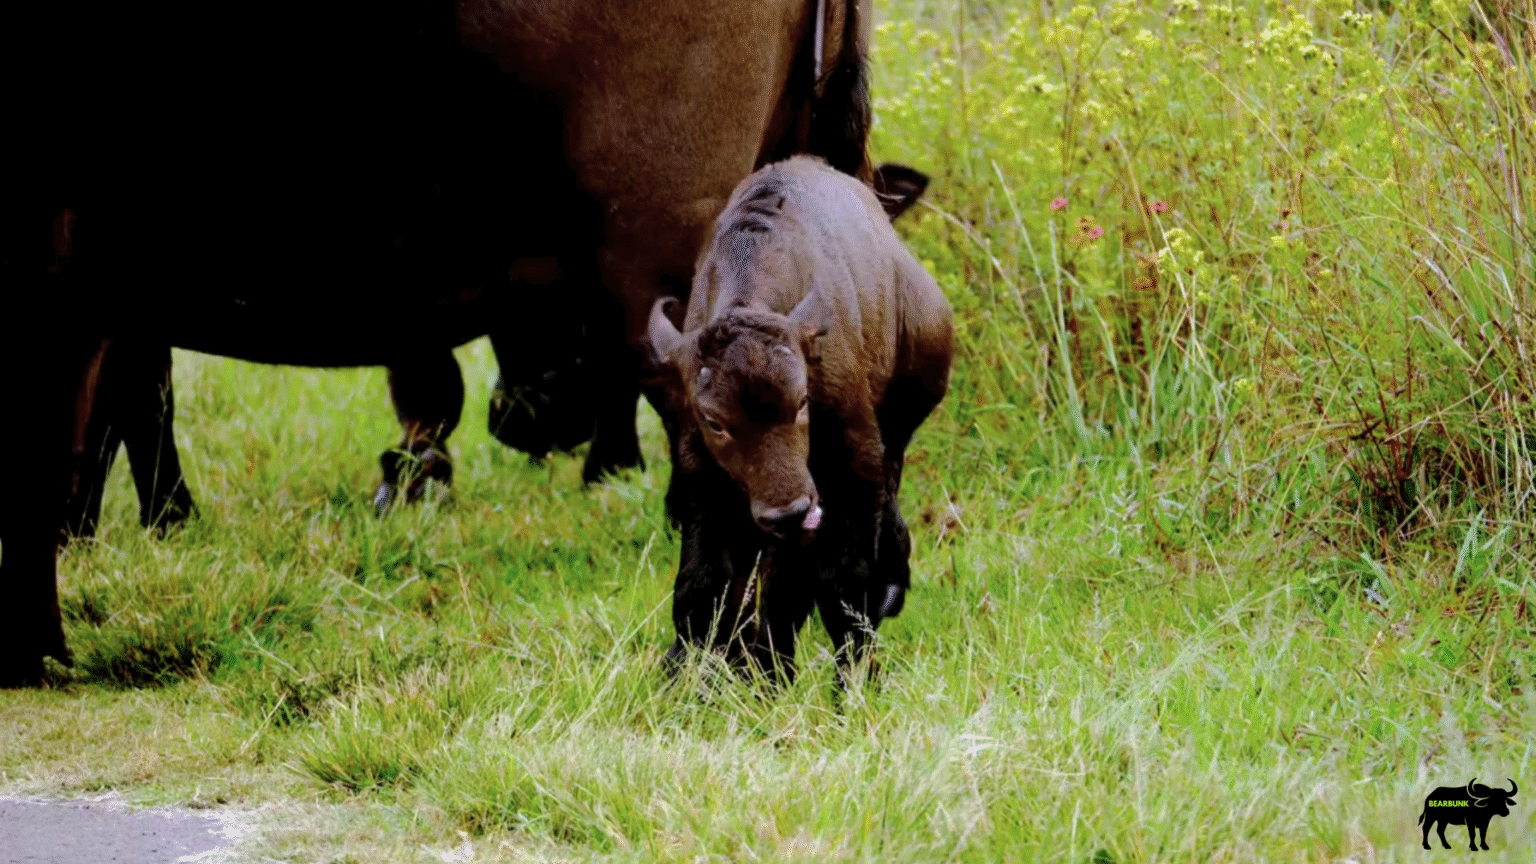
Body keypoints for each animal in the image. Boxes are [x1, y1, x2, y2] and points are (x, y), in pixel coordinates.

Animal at [646, 157, 953, 680]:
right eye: (714, 421)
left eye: (803, 401)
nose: (786, 511)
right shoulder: (704, 480)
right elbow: (702, 587)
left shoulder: (852, 471)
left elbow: (842, 589)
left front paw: (851, 683)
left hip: (894, 431)